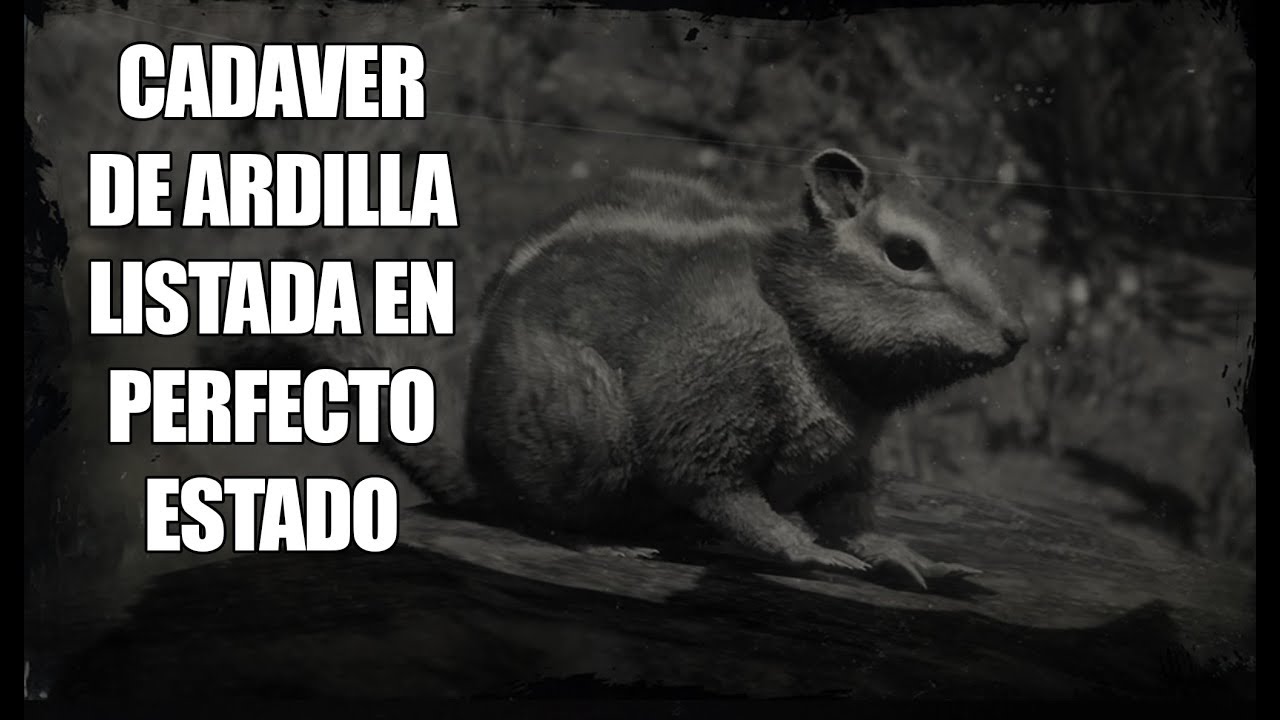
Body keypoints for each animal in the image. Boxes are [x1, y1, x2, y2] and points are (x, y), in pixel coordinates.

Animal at [213, 148, 1029, 590]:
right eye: (906, 254)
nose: (1019, 334)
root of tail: (476, 465)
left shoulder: (848, 461)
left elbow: (854, 517)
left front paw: (911, 557)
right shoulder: (713, 393)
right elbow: (724, 489)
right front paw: (808, 552)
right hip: (592, 429)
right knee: (542, 515)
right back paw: (608, 541)